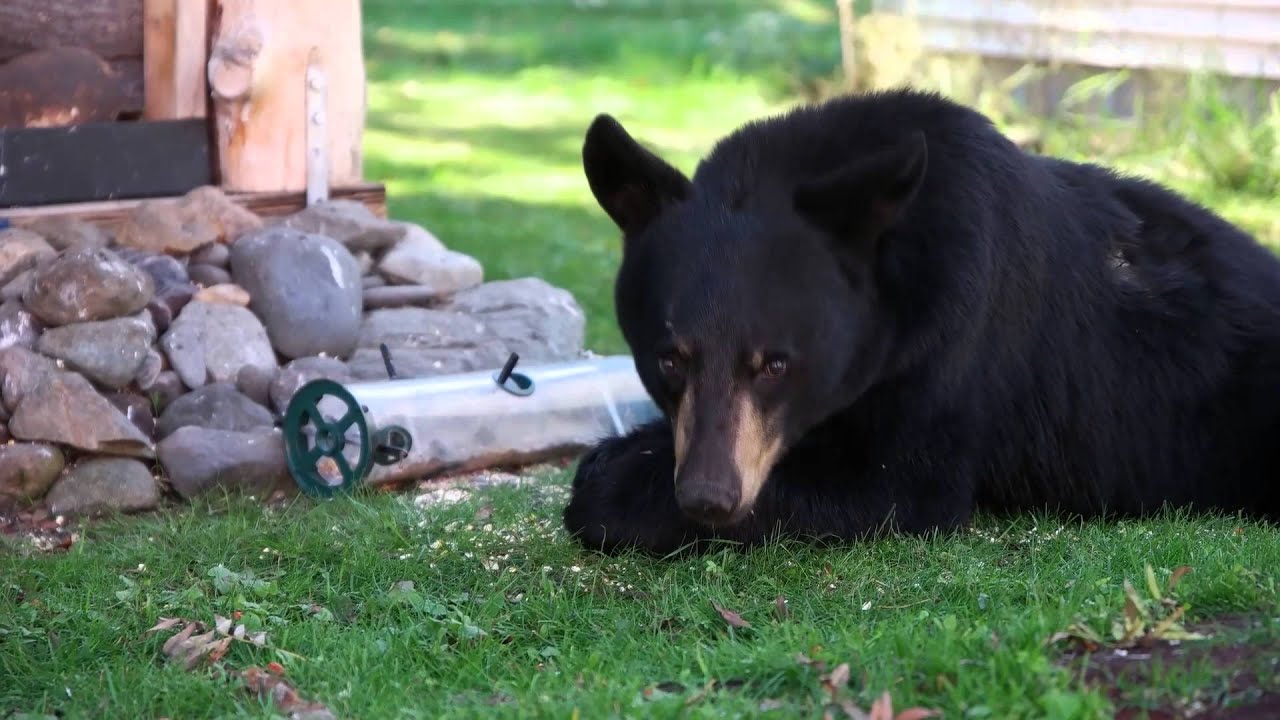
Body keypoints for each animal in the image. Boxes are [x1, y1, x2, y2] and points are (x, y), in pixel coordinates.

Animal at [561, 88, 1280, 556]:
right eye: (669, 358)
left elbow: (895, 483)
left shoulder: (959, 333)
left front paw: (616, 492)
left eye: (776, 363)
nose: (709, 497)